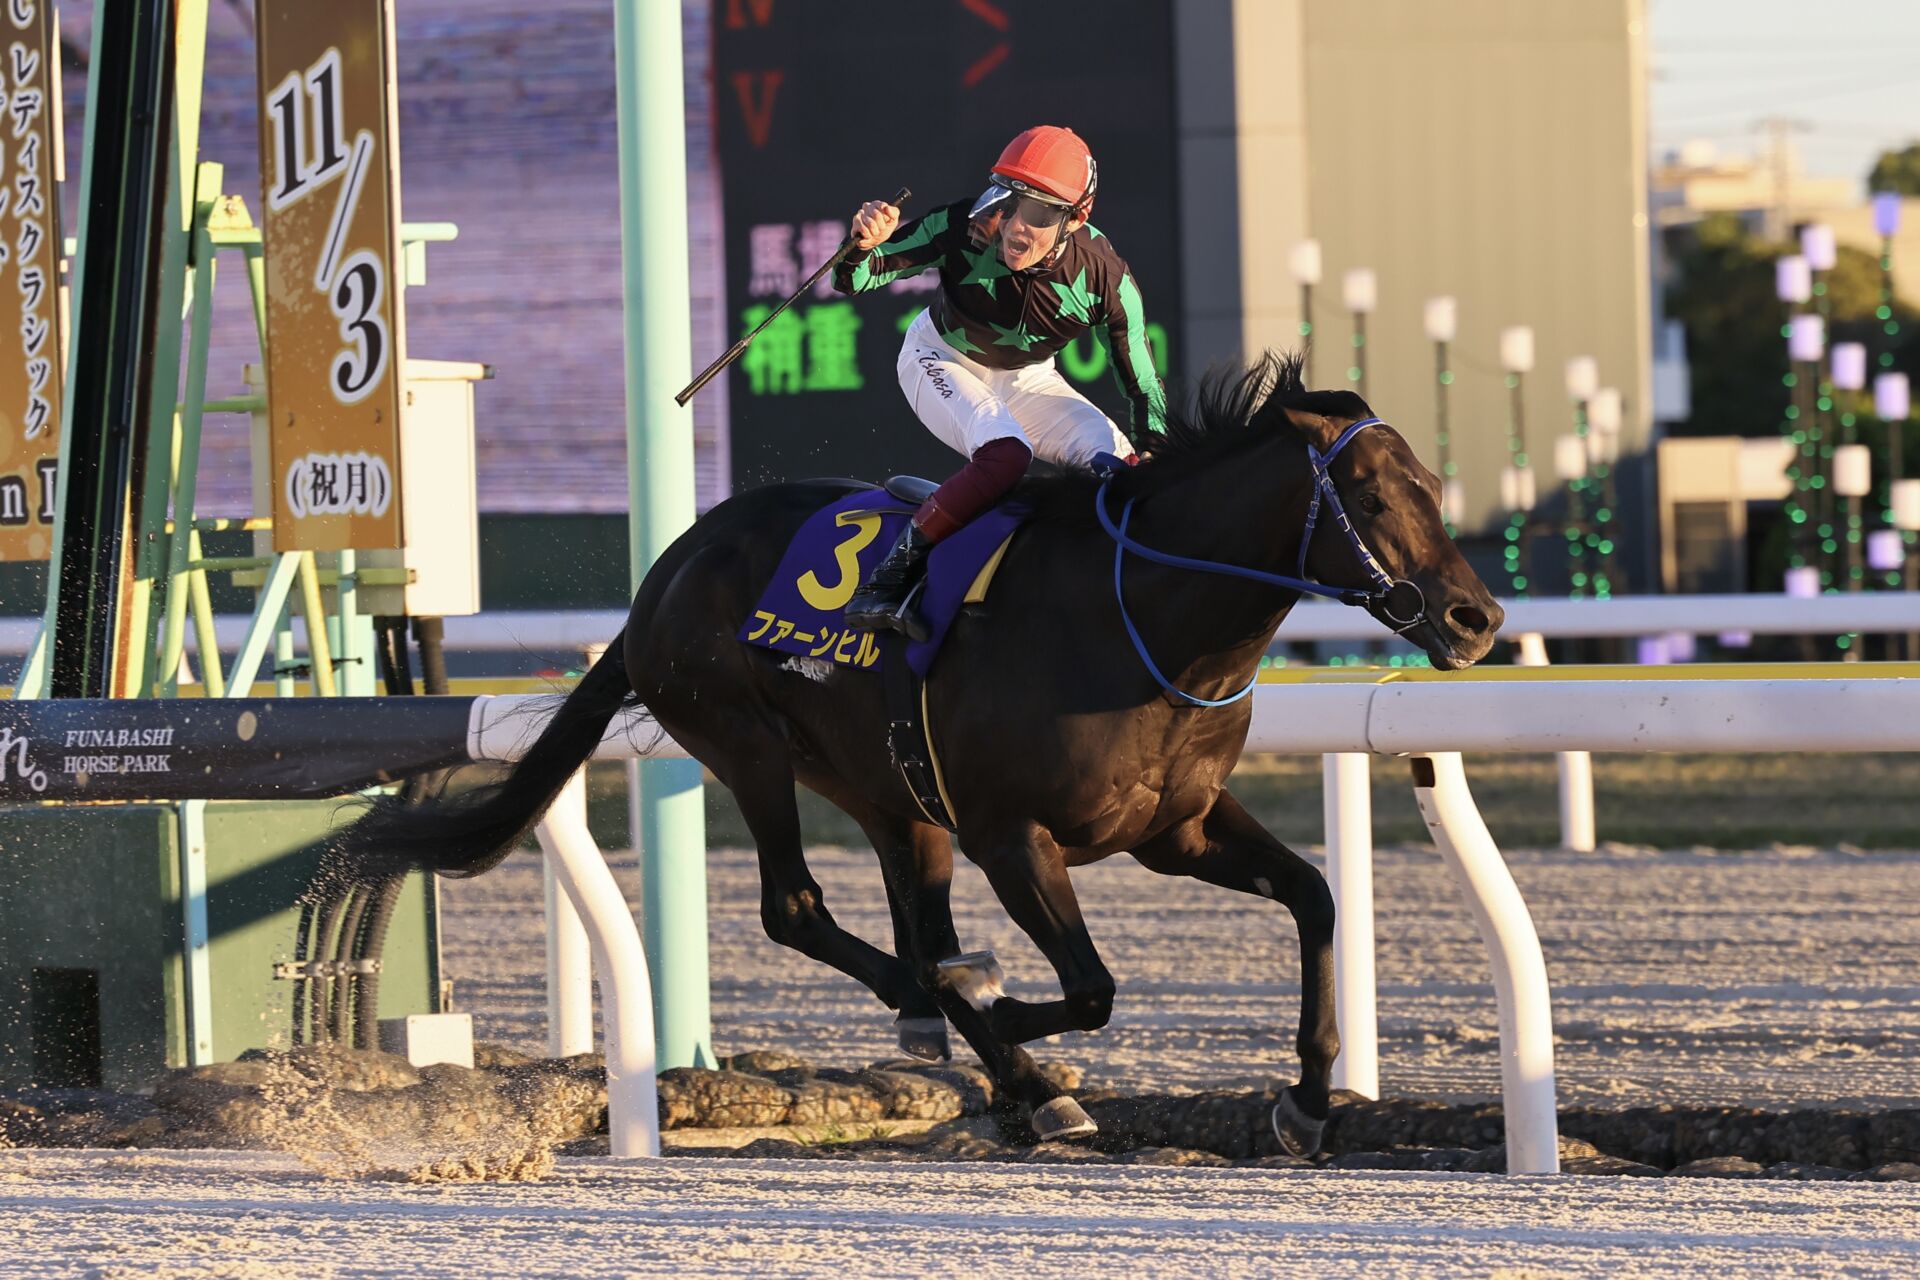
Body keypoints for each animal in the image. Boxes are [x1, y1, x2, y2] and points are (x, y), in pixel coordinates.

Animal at [327, 353, 1503, 1153]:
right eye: (1373, 495)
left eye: (1434, 484)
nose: (1477, 616)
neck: (1141, 616)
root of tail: (665, 571)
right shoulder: (1011, 833)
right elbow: (1089, 985)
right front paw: (1009, 1026)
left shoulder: (1178, 826)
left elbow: (1315, 898)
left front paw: (1305, 1098)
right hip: (744, 740)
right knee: (799, 908)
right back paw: (967, 1026)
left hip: (890, 791)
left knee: (908, 913)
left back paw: (983, 1048)